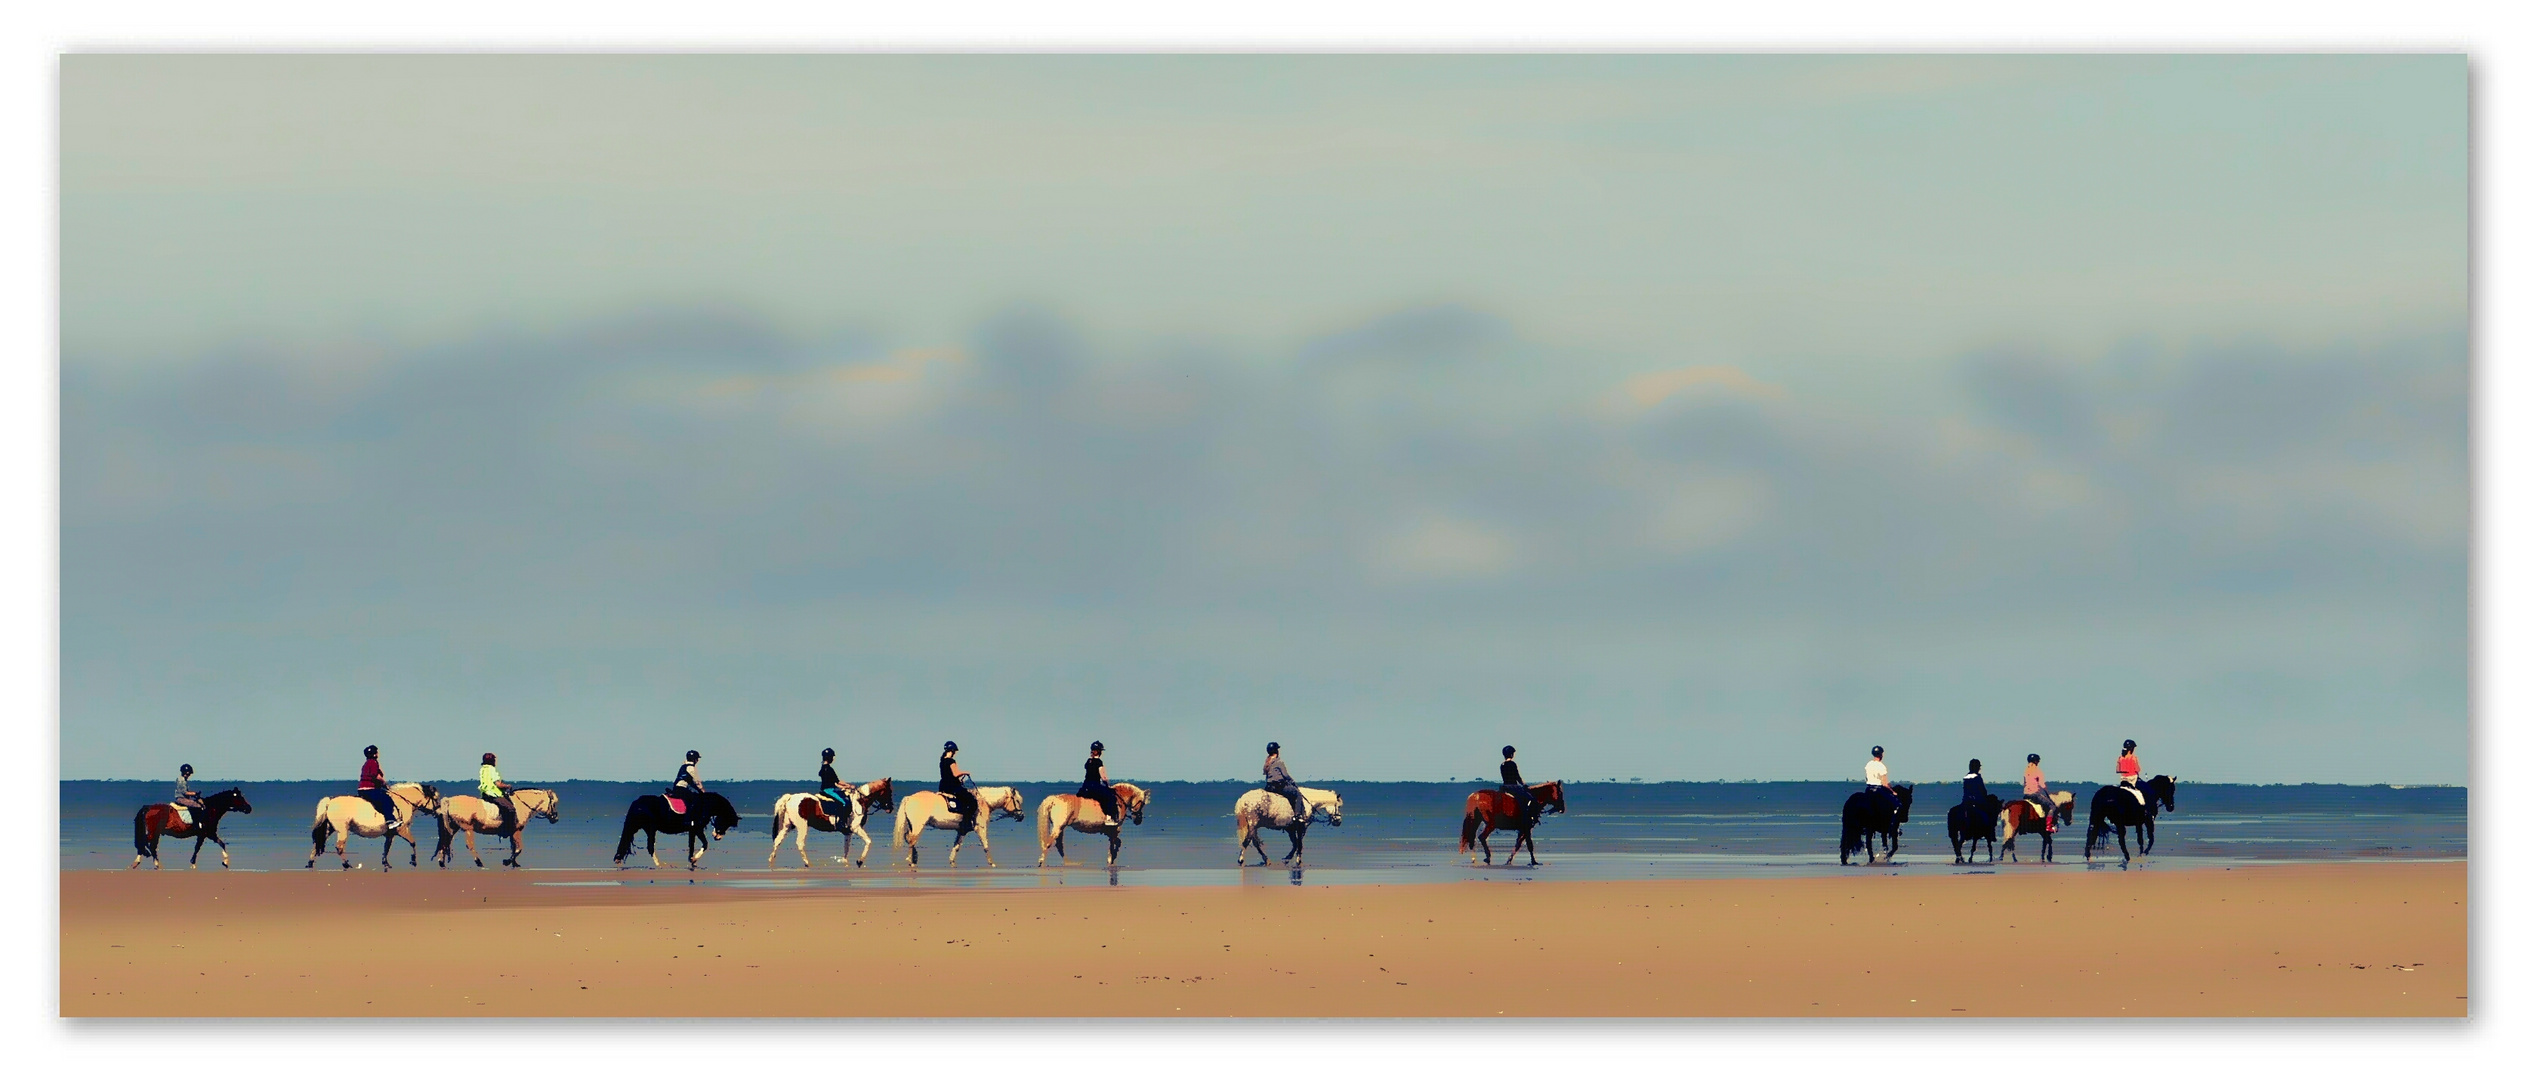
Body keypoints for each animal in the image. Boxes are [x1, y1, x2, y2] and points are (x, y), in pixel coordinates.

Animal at [306, 782, 441, 873]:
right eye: (435, 798)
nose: (439, 813)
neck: (403, 801)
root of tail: (330, 801)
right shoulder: (402, 830)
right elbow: (413, 843)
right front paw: (413, 861)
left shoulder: (390, 834)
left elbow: (387, 847)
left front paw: (386, 863)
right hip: (342, 830)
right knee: (339, 847)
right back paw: (346, 865)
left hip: (330, 828)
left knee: (317, 843)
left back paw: (310, 863)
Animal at [439, 782, 567, 868]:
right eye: (553, 803)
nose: (555, 818)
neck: (520, 804)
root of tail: (449, 800)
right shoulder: (517, 830)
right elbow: (519, 848)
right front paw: (507, 862)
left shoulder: (512, 832)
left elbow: (514, 847)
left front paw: (514, 863)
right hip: (468, 828)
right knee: (469, 845)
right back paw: (479, 862)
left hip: (453, 828)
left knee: (444, 842)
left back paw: (441, 863)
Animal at [888, 782, 1024, 868]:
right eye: (1017, 801)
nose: (1021, 816)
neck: (983, 801)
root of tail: (909, 798)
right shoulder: (980, 828)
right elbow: (985, 845)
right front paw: (992, 863)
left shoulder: (962, 830)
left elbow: (957, 846)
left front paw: (952, 862)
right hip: (918, 826)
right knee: (912, 840)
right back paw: (911, 860)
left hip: (913, 825)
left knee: (908, 838)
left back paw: (914, 857)